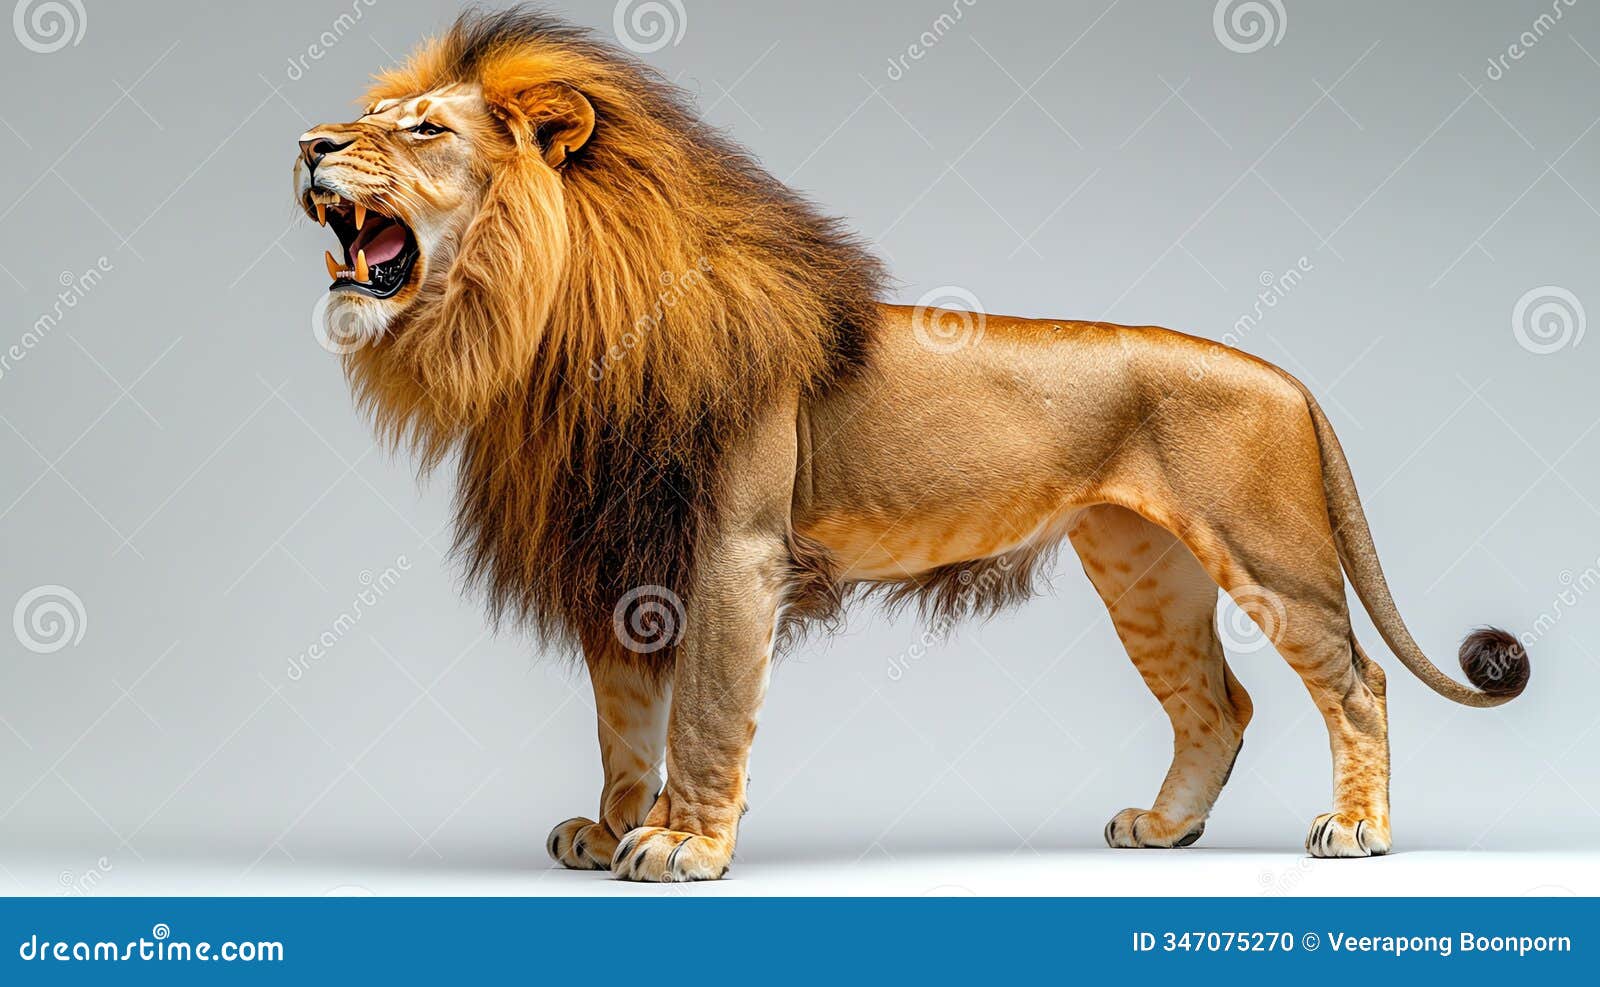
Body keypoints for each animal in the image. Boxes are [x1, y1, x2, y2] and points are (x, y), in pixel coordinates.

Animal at [292, 8, 1530, 880]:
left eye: (422, 129)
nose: (306, 143)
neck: (541, 329)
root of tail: (1289, 378)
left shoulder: (733, 548)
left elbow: (702, 713)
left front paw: (685, 845)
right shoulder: (621, 556)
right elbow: (622, 721)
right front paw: (610, 831)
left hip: (1268, 551)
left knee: (1358, 682)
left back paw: (1357, 830)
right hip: (1144, 570)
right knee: (1216, 705)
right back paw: (1164, 828)